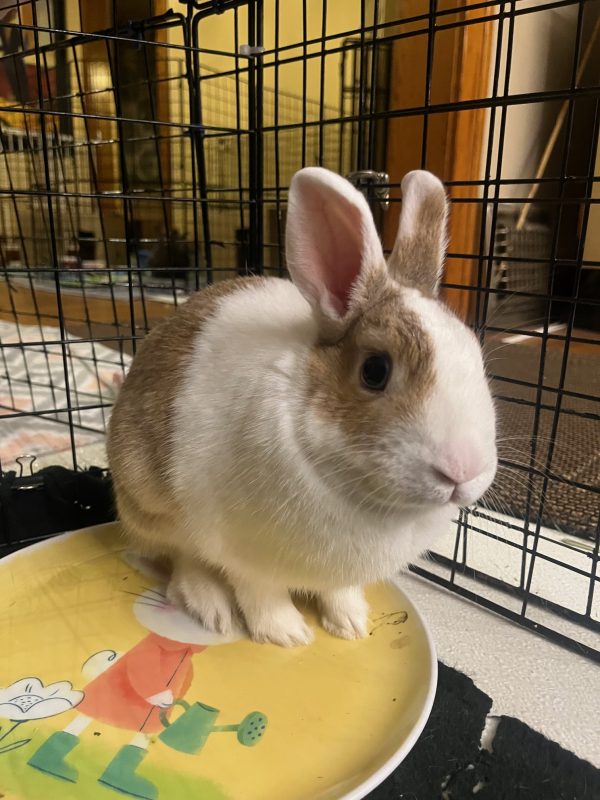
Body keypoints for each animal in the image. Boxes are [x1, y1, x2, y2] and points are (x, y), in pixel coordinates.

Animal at [107, 167, 497, 647]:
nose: (464, 470)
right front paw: (289, 635)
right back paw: (212, 608)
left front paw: (351, 625)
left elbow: (338, 592)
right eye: (375, 370)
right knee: (183, 558)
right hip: (150, 501)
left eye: (476, 356)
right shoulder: (246, 557)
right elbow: (260, 594)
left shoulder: (334, 573)